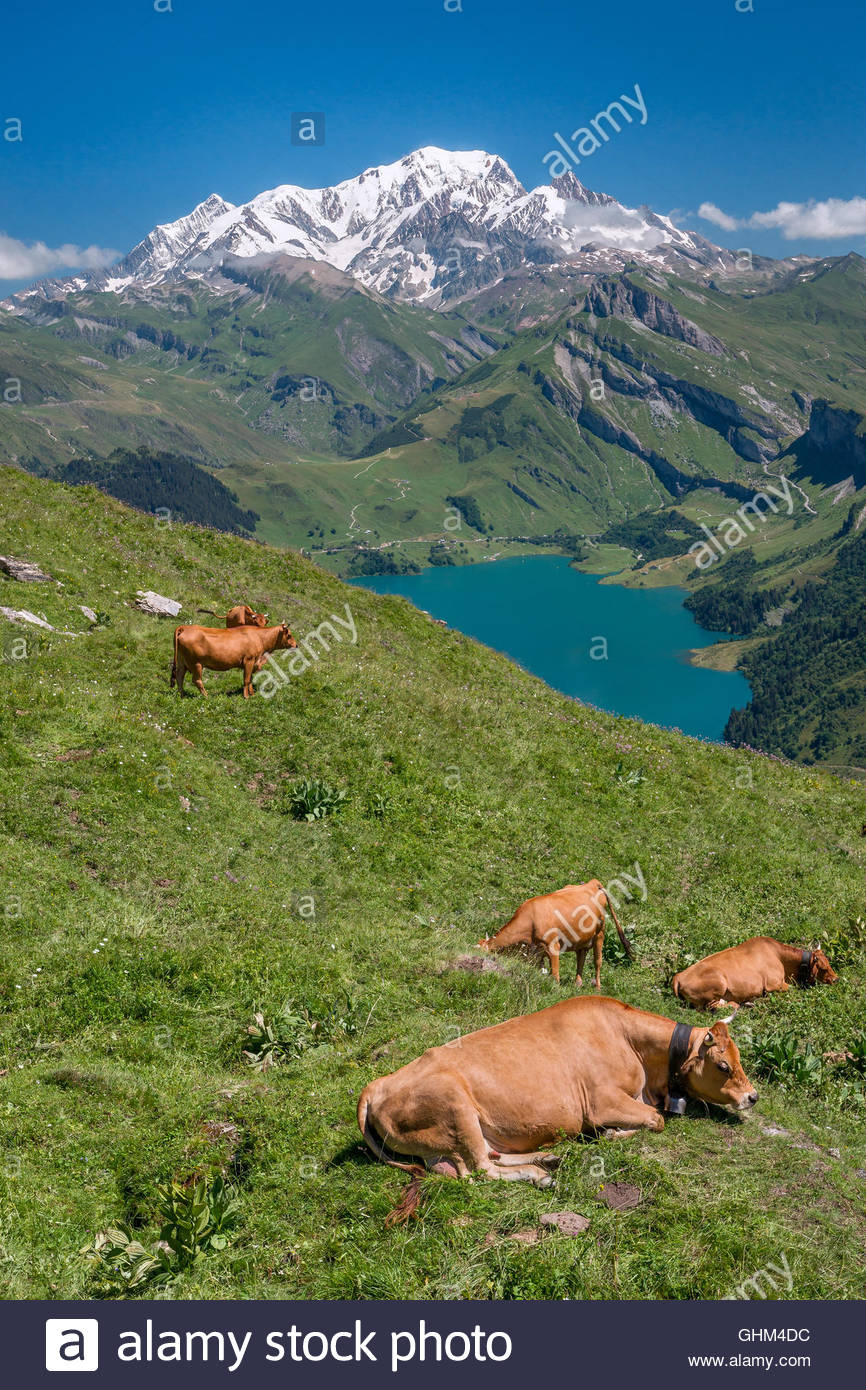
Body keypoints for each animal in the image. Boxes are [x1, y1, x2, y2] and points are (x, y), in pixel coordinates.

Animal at [358, 996, 757, 1189]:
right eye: (724, 1067)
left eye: (739, 1059)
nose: (752, 1097)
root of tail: (376, 1085)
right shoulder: (600, 1102)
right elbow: (656, 1120)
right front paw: (611, 1133)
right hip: (456, 1109)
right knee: (480, 1171)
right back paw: (540, 1174)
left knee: (488, 1157)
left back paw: (548, 1157)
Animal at [477, 880, 635, 990]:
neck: (531, 920)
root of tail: (591, 883)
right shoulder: (537, 953)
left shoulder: (553, 946)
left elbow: (555, 974)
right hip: (582, 939)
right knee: (581, 958)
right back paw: (577, 984)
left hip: (599, 934)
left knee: (597, 961)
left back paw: (597, 987)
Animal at [672, 937, 838, 1011]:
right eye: (823, 967)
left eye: (829, 962)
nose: (836, 979)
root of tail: (678, 976)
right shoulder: (774, 984)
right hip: (719, 983)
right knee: (712, 1006)